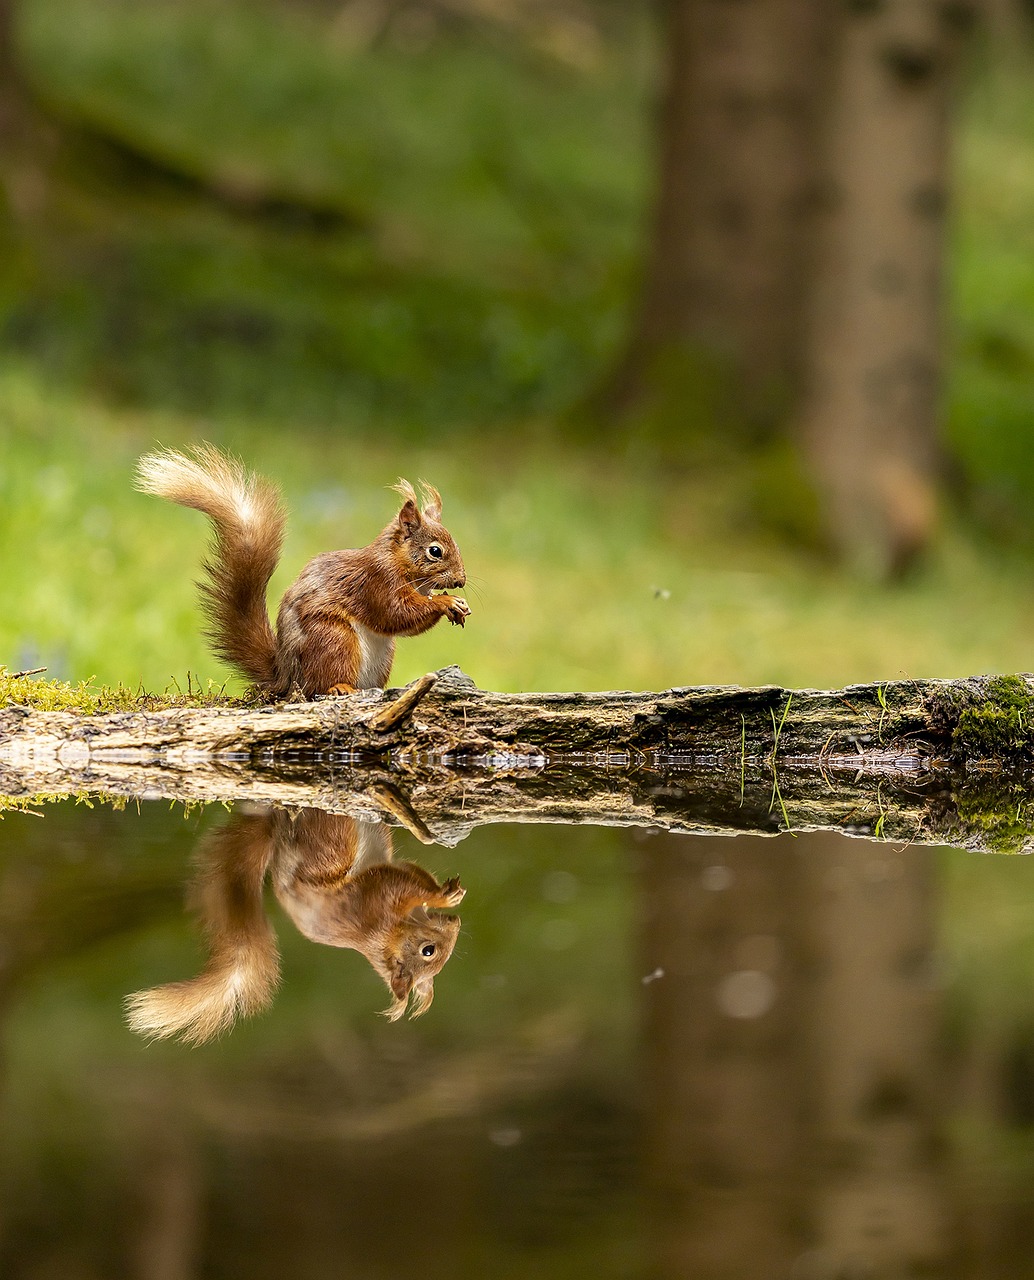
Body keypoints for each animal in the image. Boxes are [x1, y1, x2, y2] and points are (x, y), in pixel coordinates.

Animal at [124, 804, 466, 1045]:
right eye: (428, 951)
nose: (456, 925)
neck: (389, 936)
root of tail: (278, 844)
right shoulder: (380, 897)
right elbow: (408, 883)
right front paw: (443, 896)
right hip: (332, 842)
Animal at [134, 444, 470, 699]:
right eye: (435, 551)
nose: (461, 581)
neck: (400, 563)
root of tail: (286, 676)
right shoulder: (376, 582)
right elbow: (395, 613)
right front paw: (446, 602)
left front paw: (457, 604)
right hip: (333, 640)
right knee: (317, 686)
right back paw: (339, 687)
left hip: (381, 656)